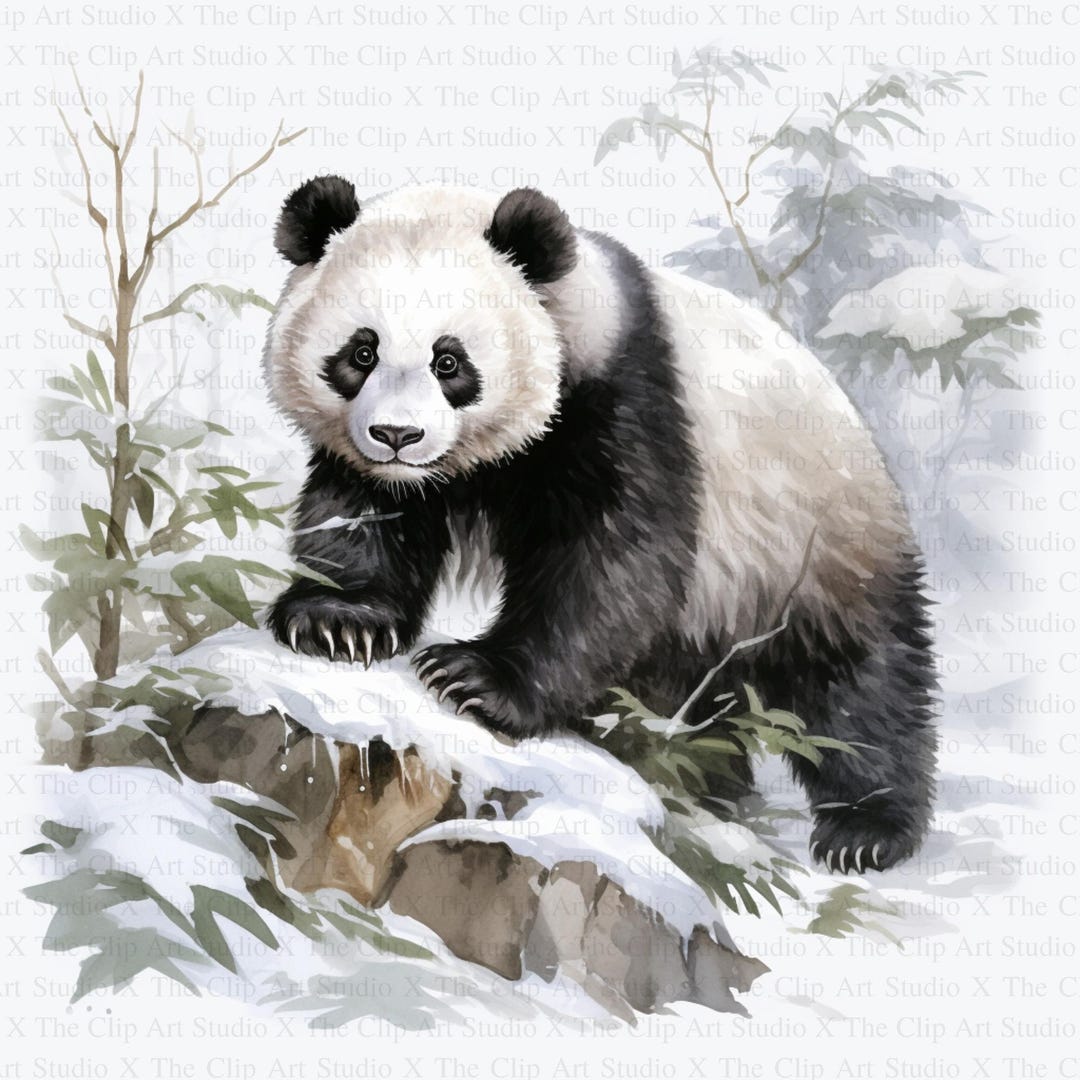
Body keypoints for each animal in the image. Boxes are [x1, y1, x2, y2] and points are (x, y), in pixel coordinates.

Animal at [262, 177, 938, 875]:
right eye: (361, 352)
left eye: (448, 362)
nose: (397, 435)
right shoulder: (383, 469)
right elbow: (360, 512)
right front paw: (340, 622)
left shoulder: (625, 403)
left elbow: (614, 559)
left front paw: (475, 678)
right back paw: (699, 779)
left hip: (811, 543)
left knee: (858, 686)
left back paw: (864, 830)